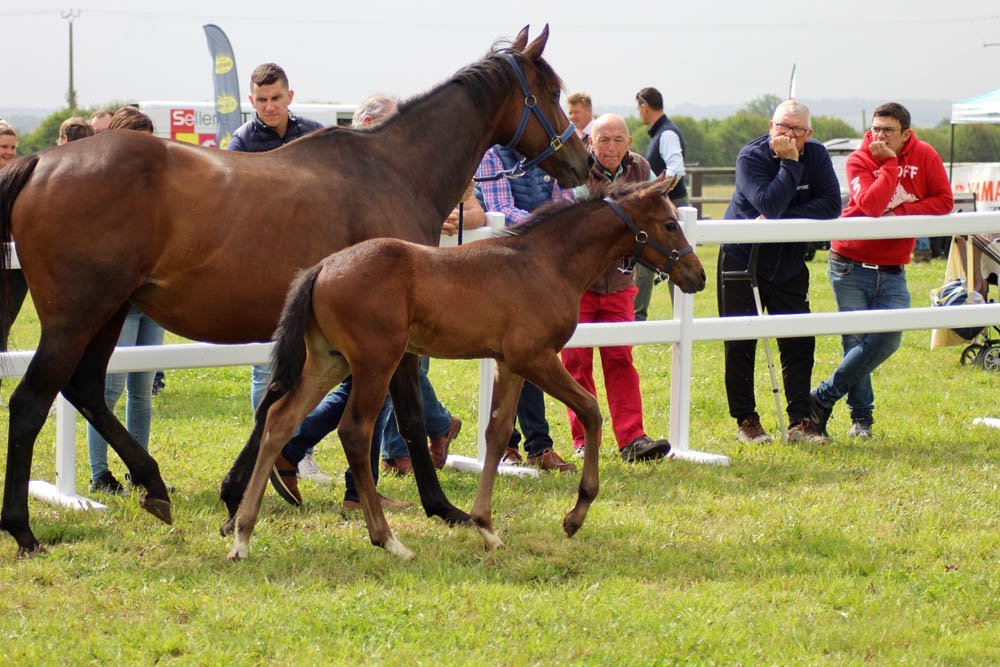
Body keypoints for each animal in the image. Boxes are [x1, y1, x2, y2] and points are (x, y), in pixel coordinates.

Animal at [0, 25, 590, 557]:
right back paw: (24, 530)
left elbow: (274, 408)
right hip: (79, 316)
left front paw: (237, 498)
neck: (394, 170)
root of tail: (40, 161)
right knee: (31, 400)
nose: (582, 163)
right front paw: (442, 507)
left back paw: (154, 486)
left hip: (108, 311)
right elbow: (402, 416)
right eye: (550, 92)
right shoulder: (387, 339)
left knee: (84, 388)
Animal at [227, 177, 707, 561]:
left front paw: (486, 527)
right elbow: (590, 409)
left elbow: (497, 434)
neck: (545, 262)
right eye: (669, 224)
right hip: (374, 363)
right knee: (354, 432)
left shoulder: (509, 364)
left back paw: (242, 536)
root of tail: (323, 266)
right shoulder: (536, 357)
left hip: (330, 360)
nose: (697, 275)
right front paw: (576, 514)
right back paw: (388, 540)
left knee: (280, 419)